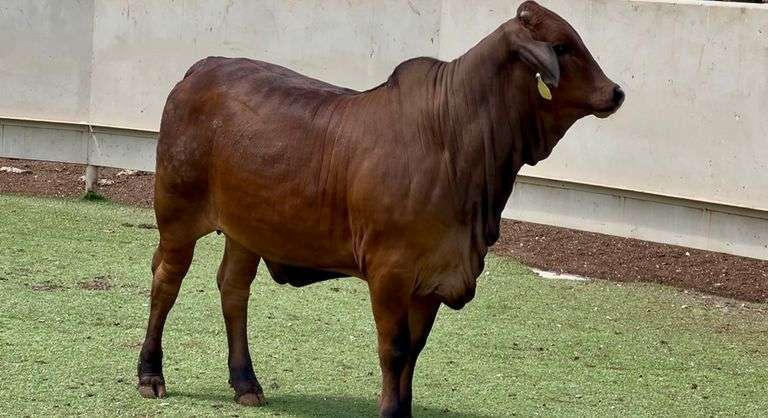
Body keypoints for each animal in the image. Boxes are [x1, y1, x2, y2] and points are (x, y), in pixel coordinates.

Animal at [137, 1, 624, 416]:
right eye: (561, 47)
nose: (615, 92)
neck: (452, 137)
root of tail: (202, 67)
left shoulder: (434, 277)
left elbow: (414, 351)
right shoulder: (390, 271)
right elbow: (394, 348)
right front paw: (390, 409)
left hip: (247, 230)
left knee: (234, 289)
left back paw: (246, 383)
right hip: (177, 214)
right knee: (166, 281)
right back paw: (150, 374)